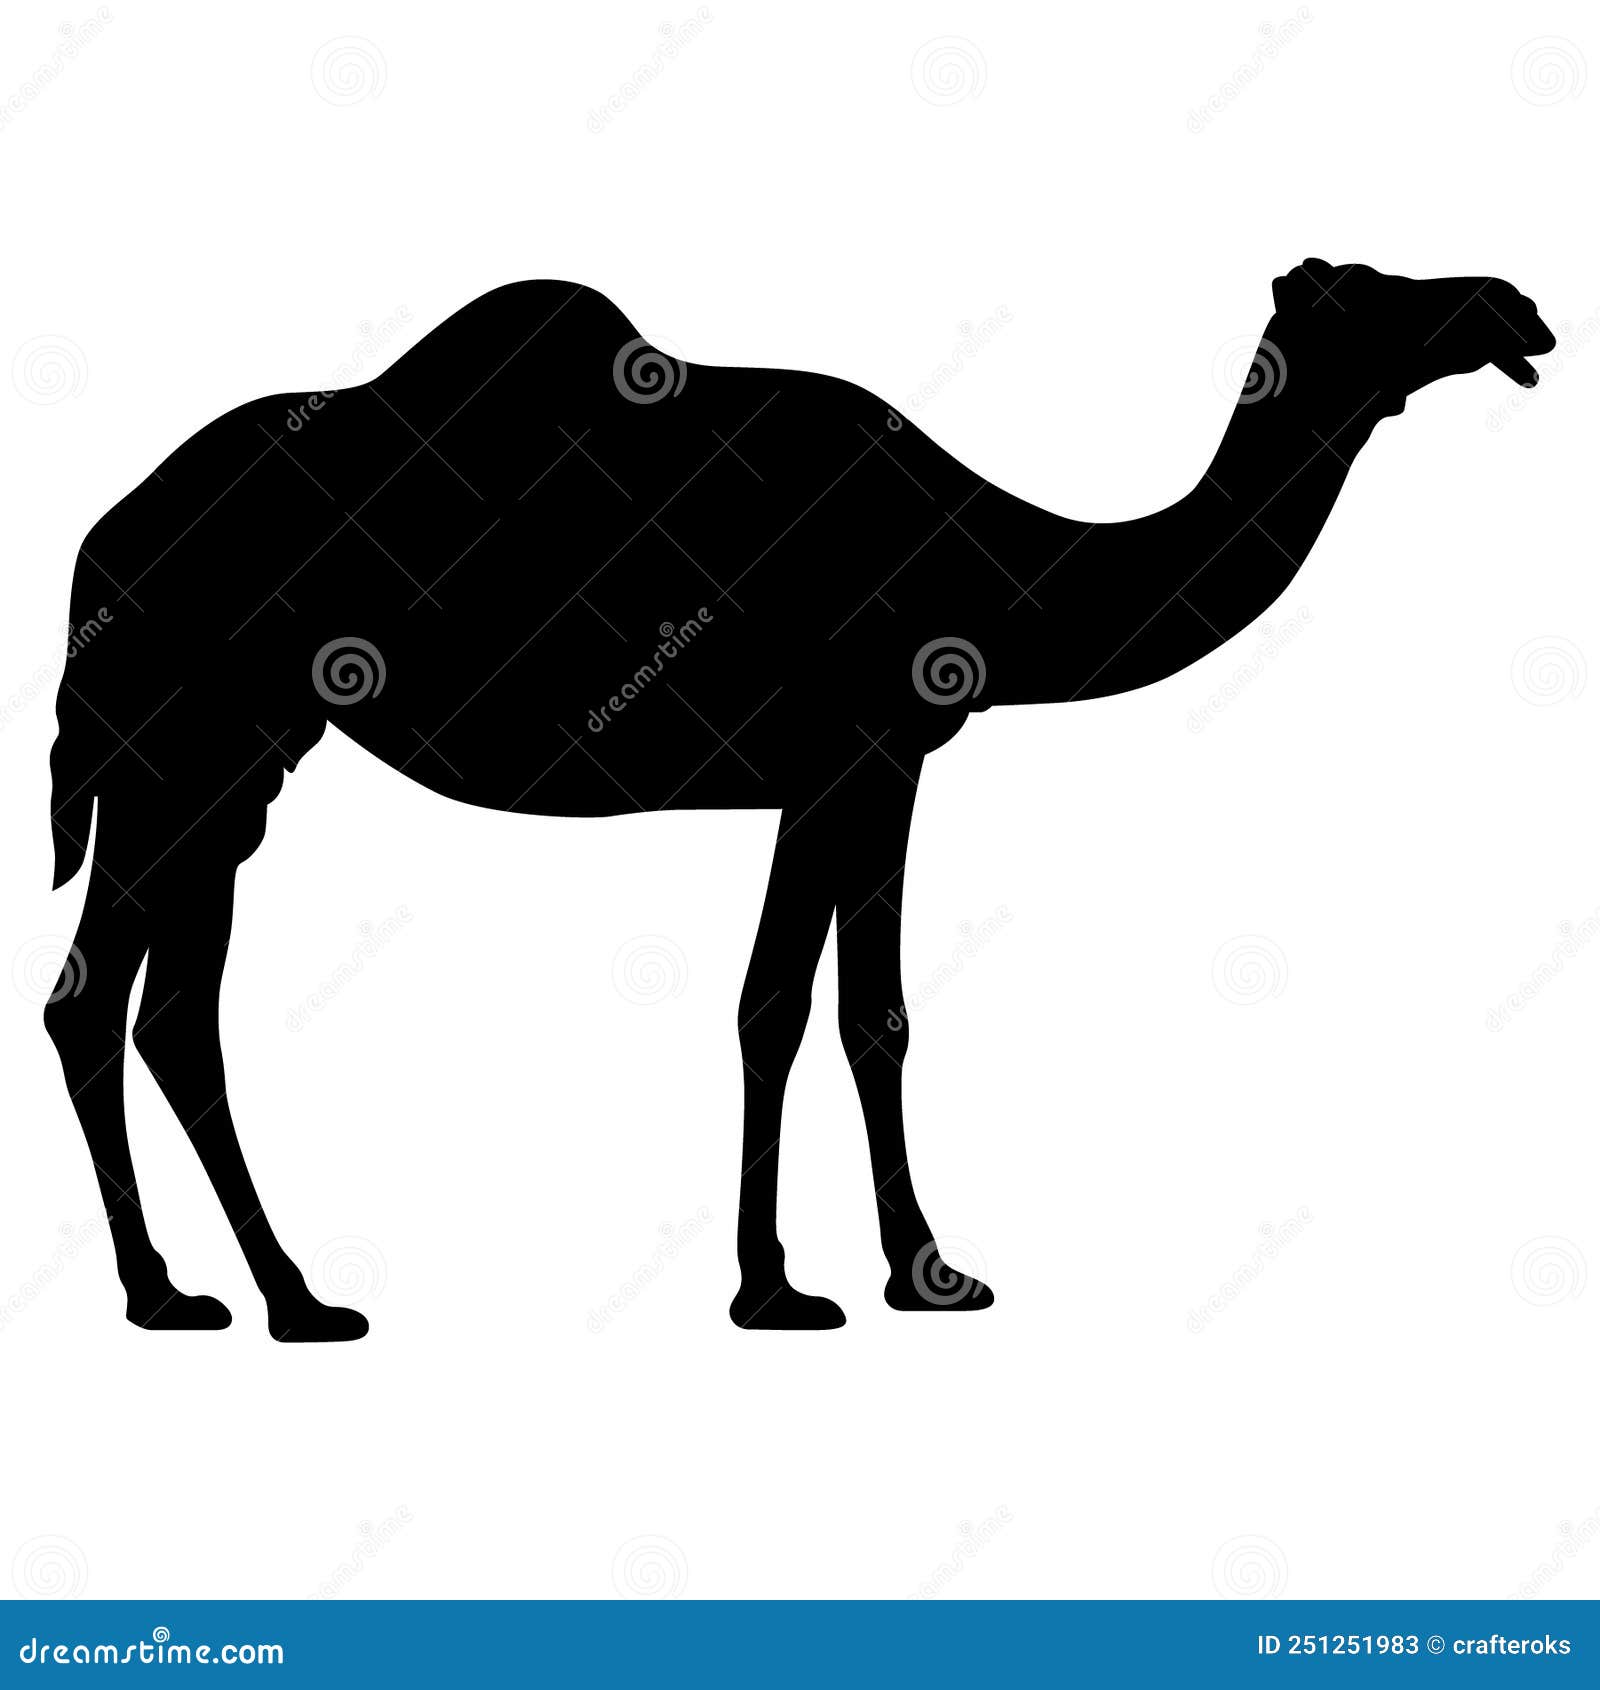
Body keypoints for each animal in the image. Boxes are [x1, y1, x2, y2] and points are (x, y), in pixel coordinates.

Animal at [45, 258, 1554, 1339]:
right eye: (1375, 290)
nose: (1514, 303)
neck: (997, 572)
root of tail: (103, 541)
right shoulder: (872, 744)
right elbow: (850, 1010)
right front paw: (884, 1279)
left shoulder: (825, 774)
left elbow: (791, 1004)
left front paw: (811, 1277)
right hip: (197, 729)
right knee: (142, 997)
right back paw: (263, 1296)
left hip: (219, 749)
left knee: (132, 999)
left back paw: (218, 1295)